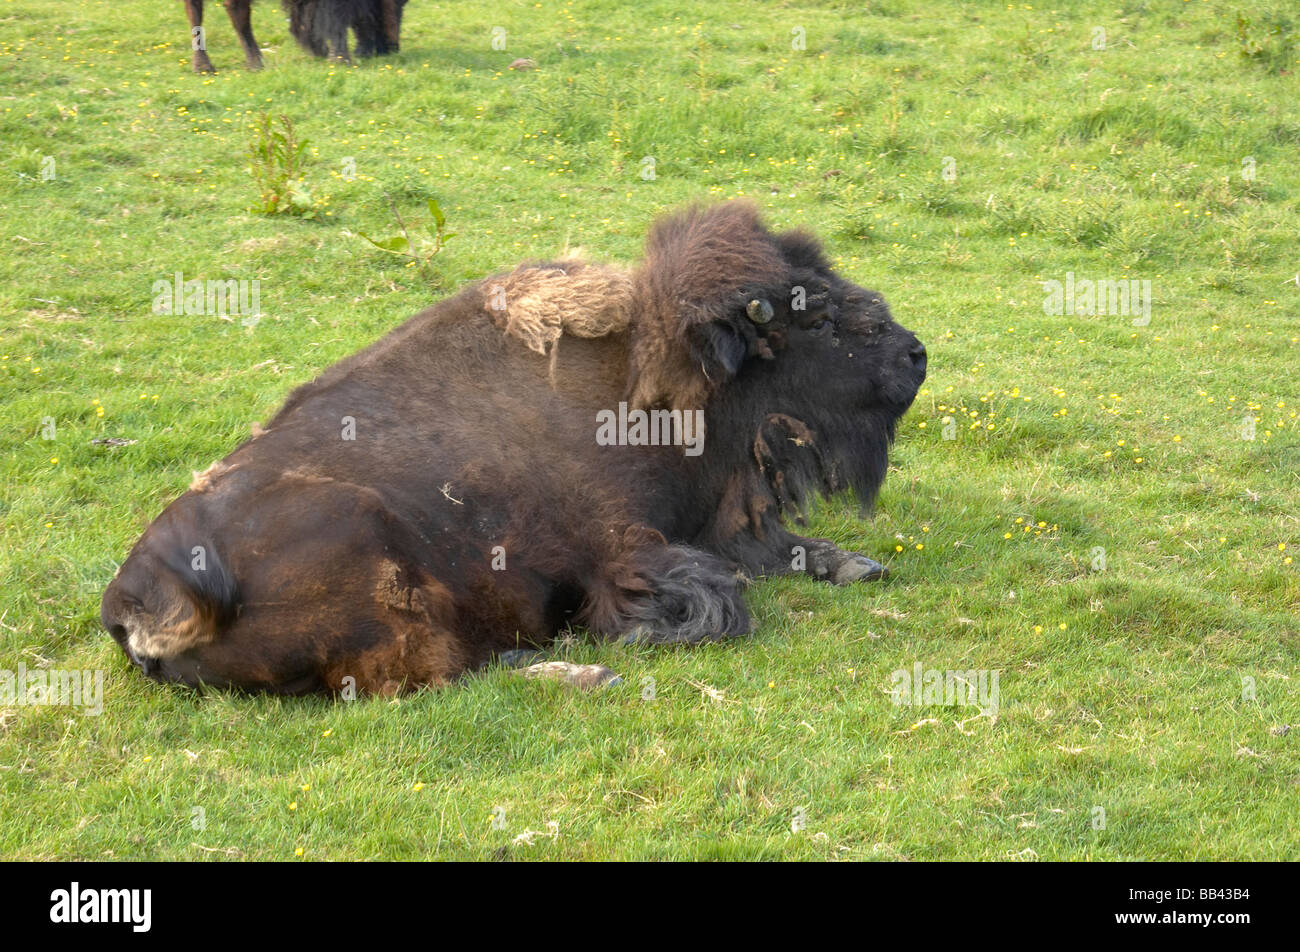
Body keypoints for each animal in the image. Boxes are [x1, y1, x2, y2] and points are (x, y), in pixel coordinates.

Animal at [101, 202, 926, 695]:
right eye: (813, 316)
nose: (917, 355)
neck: (653, 380)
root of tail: (137, 596)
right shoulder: (625, 550)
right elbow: (715, 598)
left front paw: (856, 563)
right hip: (376, 559)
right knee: (434, 676)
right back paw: (582, 671)